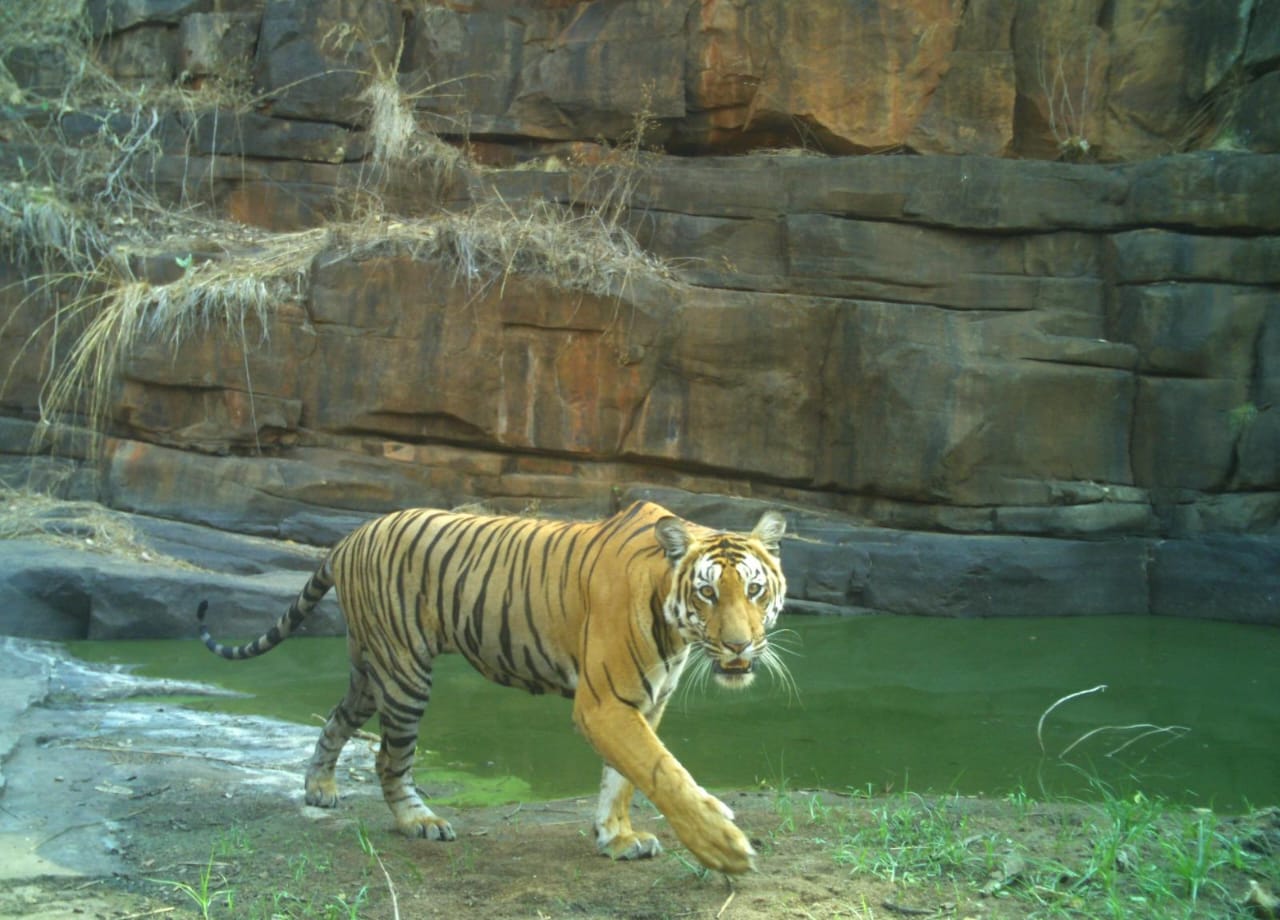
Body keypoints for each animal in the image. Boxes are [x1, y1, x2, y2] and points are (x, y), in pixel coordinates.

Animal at [197, 499, 788, 874]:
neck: (675, 623)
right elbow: (661, 771)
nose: (738, 647)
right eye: (708, 593)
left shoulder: (646, 700)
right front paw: (722, 847)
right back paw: (420, 821)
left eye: (755, 591)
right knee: (390, 758)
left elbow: (622, 778)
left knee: (336, 718)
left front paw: (616, 838)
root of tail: (350, 537)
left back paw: (319, 788)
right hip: (405, 671)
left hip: (371, 669)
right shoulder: (604, 703)